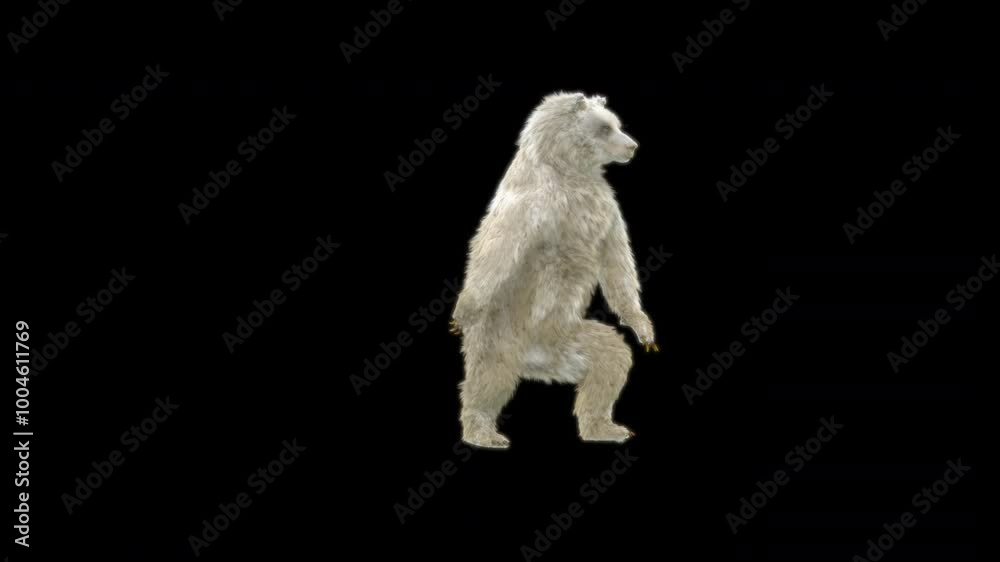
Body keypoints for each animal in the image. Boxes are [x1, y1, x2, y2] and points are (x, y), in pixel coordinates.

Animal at [450, 92, 658, 449]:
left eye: (616, 123)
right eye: (605, 127)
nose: (632, 146)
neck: (569, 168)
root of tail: (533, 361)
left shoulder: (604, 211)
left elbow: (617, 263)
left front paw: (643, 328)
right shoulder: (533, 204)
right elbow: (496, 248)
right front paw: (461, 311)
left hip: (569, 339)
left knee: (610, 359)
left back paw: (606, 427)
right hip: (501, 332)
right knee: (489, 376)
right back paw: (484, 432)